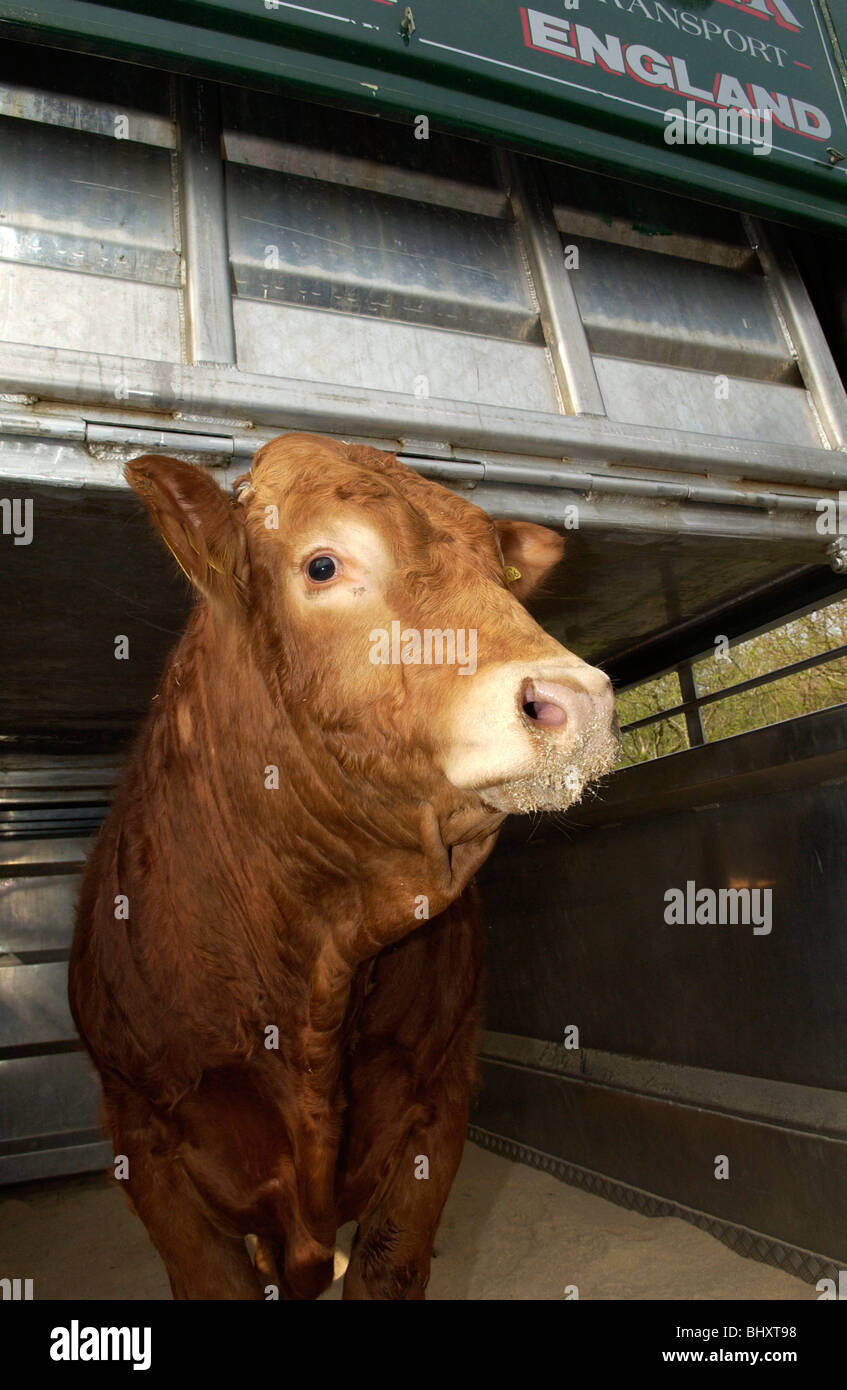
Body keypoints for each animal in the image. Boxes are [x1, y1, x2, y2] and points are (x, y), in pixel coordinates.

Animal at [68, 432, 618, 1300]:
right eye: (322, 565)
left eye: (500, 576)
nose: (581, 700)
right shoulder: (145, 1144)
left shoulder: (438, 1104)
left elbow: (387, 1266)